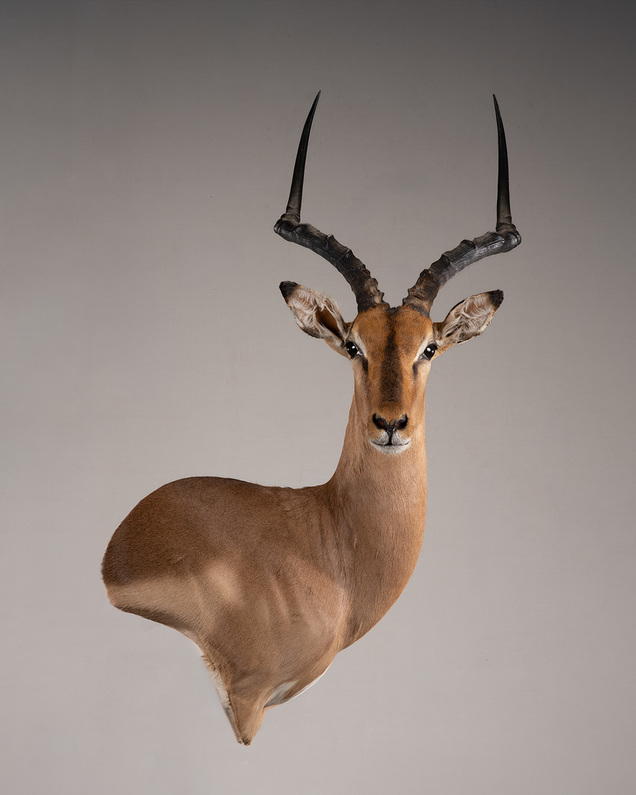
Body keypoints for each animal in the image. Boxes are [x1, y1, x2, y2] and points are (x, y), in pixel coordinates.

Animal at [102, 93, 521, 745]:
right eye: (353, 345)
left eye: (428, 347)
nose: (390, 424)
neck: (331, 546)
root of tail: (114, 554)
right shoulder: (247, 702)